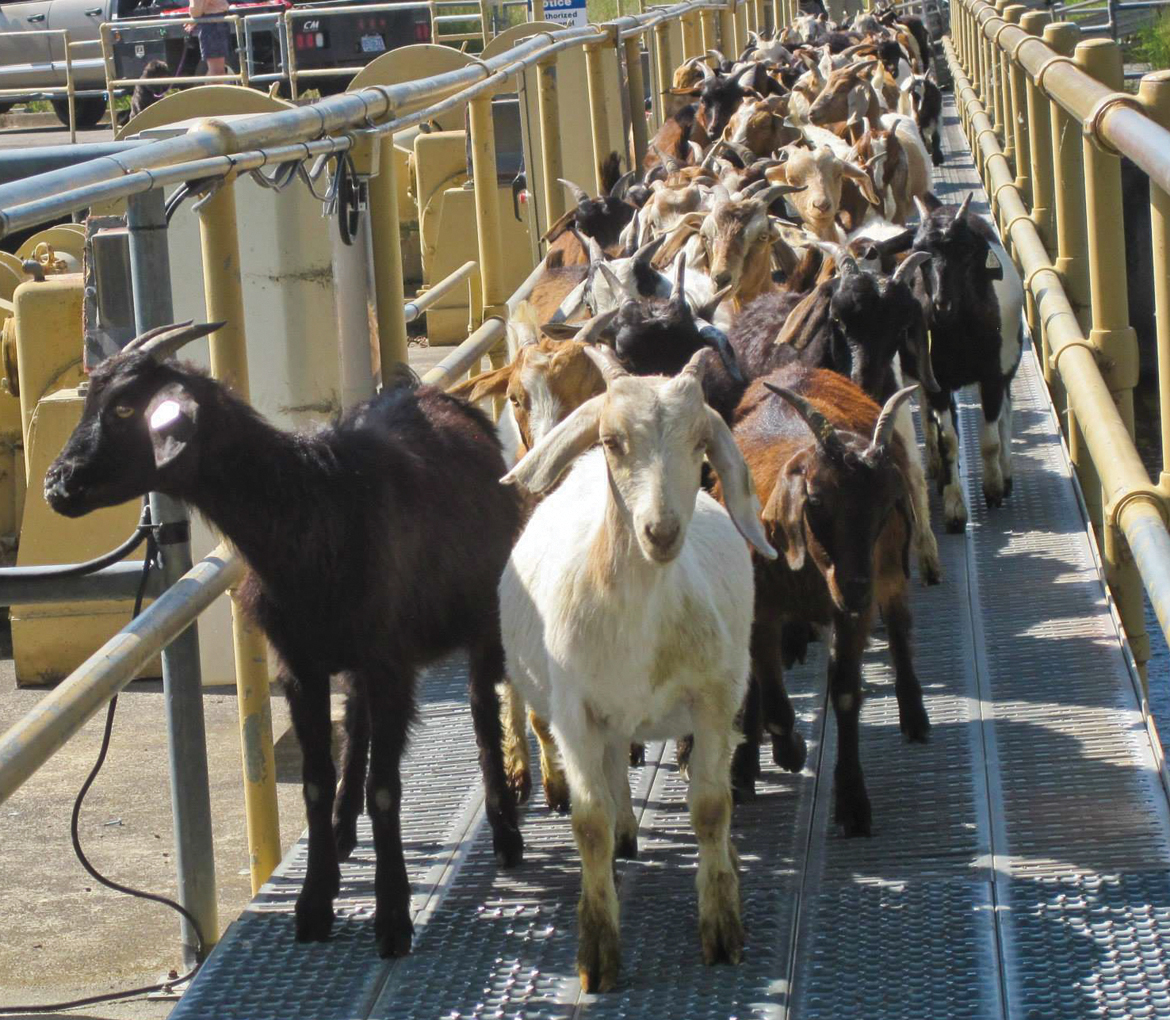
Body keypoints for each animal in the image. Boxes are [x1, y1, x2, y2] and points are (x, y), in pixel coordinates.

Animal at [44, 322, 524, 959]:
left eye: (124, 406)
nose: (56, 486)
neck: (315, 505)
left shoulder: (390, 661)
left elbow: (387, 789)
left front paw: (393, 917)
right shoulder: (300, 664)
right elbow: (316, 783)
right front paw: (315, 902)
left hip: (481, 618)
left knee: (480, 708)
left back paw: (506, 831)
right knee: (359, 720)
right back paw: (344, 830)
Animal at [499, 345, 776, 992]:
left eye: (701, 443)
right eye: (611, 440)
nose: (662, 531)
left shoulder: (715, 699)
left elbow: (712, 807)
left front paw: (722, 926)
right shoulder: (575, 713)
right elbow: (590, 824)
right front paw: (597, 953)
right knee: (608, 773)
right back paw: (626, 830)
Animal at [721, 368, 929, 824]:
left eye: (888, 503)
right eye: (816, 501)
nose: (855, 586)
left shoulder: (852, 613)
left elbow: (847, 693)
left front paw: (852, 801)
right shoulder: (761, 610)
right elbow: (771, 695)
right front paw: (790, 751)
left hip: (891, 572)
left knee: (900, 626)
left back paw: (915, 717)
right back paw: (744, 769)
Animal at [910, 193, 1024, 532]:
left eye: (966, 251)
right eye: (919, 251)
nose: (941, 304)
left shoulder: (992, 376)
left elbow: (989, 440)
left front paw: (994, 488)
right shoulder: (937, 383)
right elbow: (948, 440)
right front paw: (954, 507)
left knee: (1006, 413)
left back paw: (1006, 474)